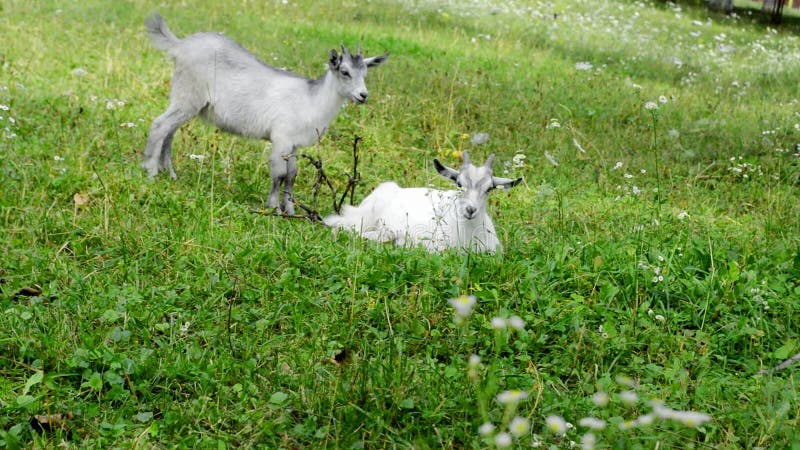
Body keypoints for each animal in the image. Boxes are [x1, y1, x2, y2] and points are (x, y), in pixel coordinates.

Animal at [142, 13, 389, 214]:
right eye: (345, 72)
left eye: (365, 73)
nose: (363, 95)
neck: (312, 100)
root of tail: (180, 45)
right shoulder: (281, 138)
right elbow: (279, 174)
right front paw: (274, 208)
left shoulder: (294, 145)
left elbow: (292, 175)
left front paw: (290, 209)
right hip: (188, 94)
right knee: (160, 125)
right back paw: (151, 172)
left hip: (186, 100)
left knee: (170, 131)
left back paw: (169, 173)